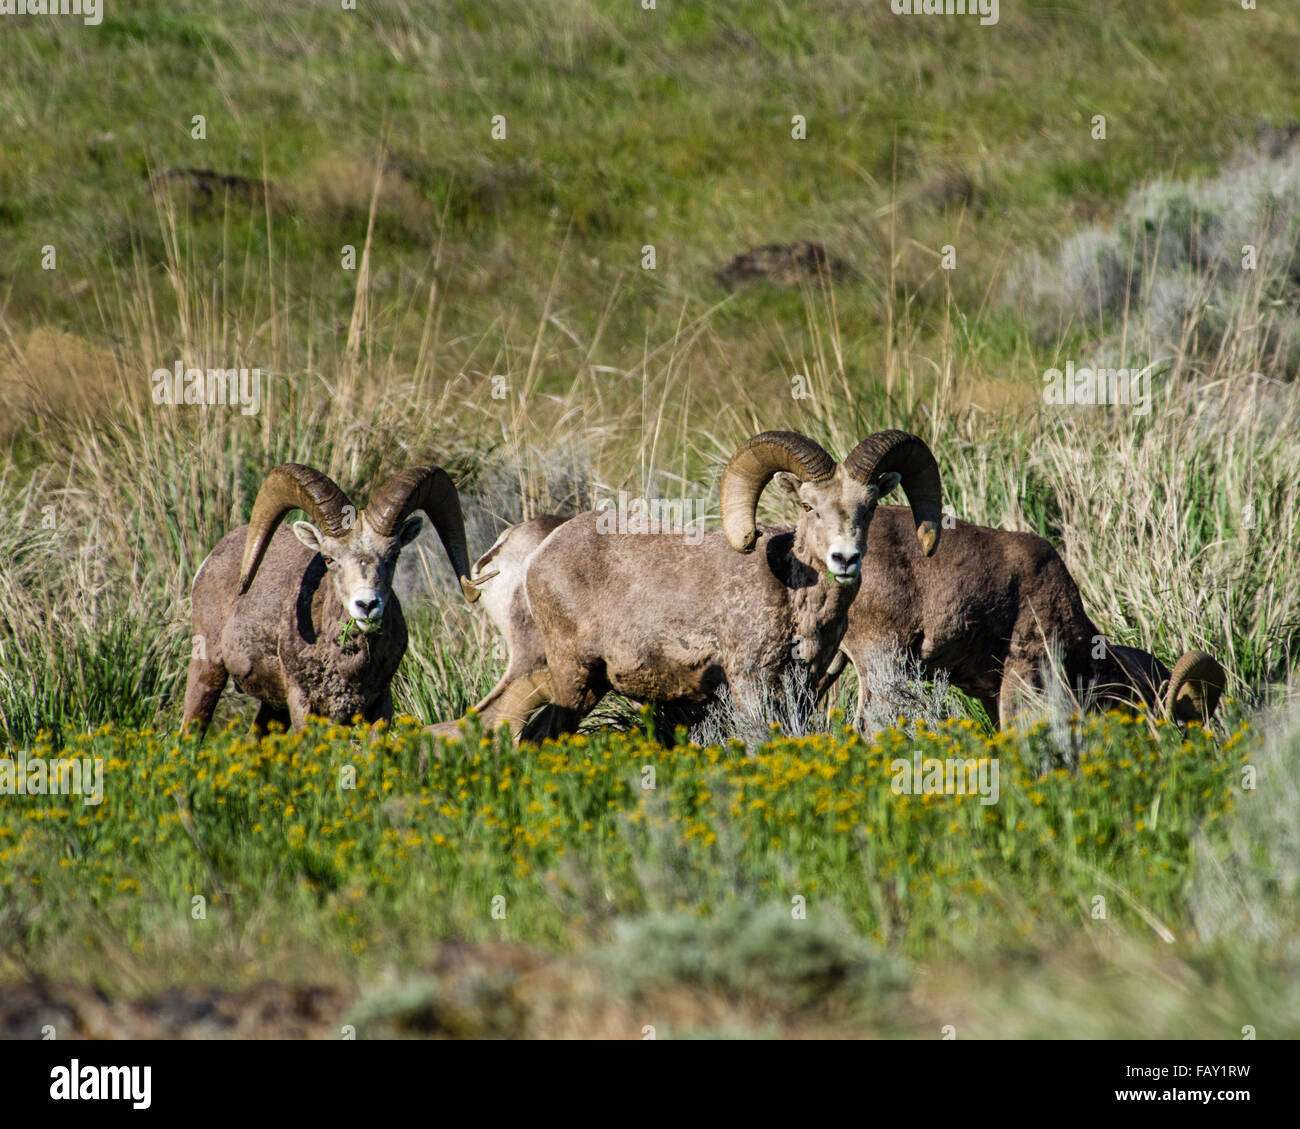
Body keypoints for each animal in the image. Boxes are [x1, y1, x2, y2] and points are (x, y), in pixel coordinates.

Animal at [183, 462, 479, 735]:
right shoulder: (302, 704)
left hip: (273, 708)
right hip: (208, 671)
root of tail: (208, 563)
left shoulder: (379, 706)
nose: (367, 605)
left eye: (394, 555)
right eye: (328, 558)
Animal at [452, 430, 943, 738]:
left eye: (870, 506)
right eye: (809, 506)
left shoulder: (805, 687)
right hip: (571, 676)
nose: (845, 559)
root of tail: (538, 554)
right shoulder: (749, 682)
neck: (794, 597)